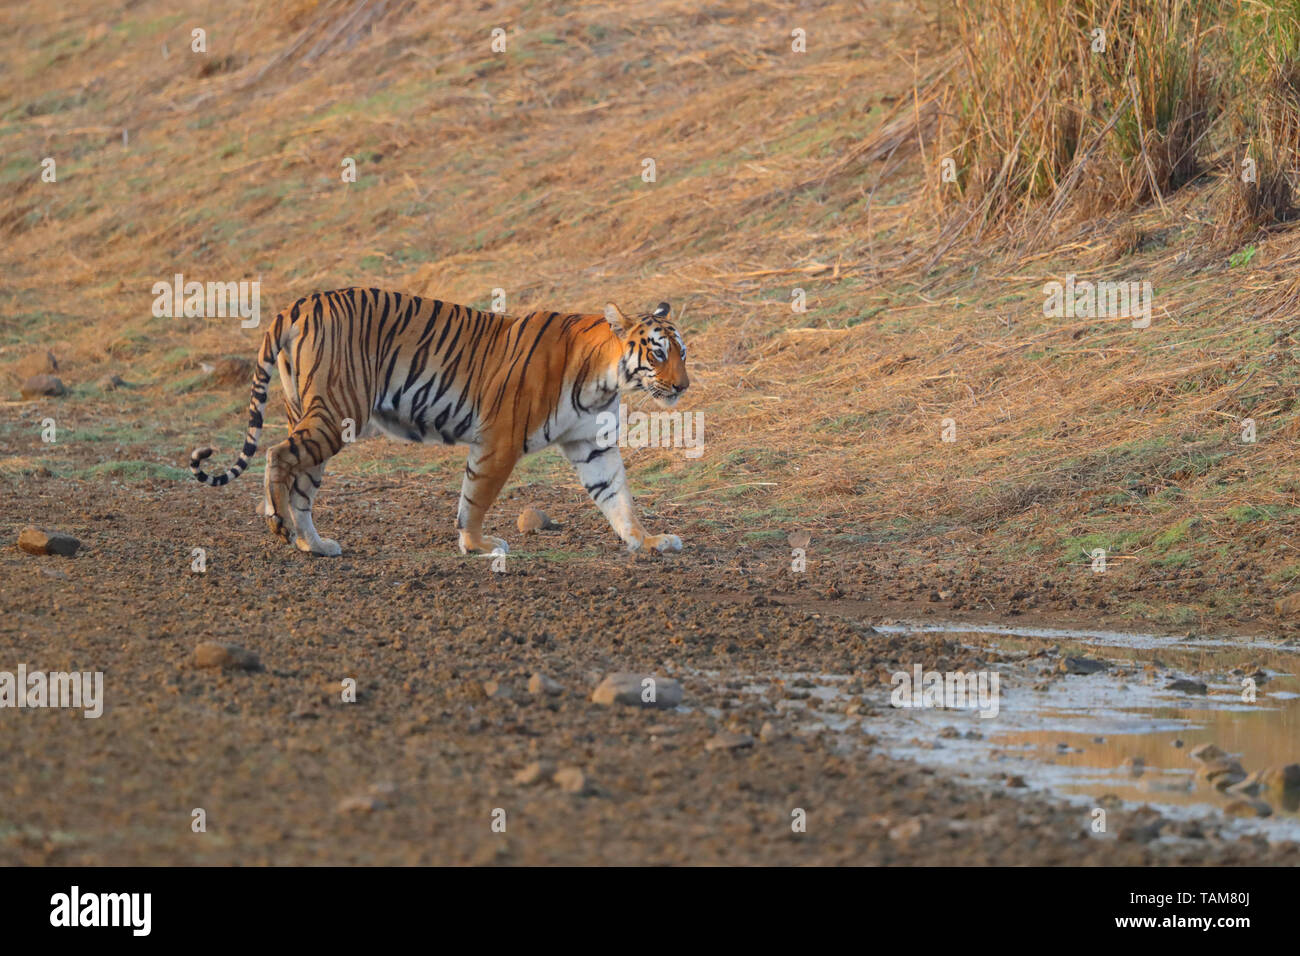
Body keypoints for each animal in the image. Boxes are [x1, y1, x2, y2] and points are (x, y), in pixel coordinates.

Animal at [190, 289, 690, 558]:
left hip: (318, 417)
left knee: (302, 484)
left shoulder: (593, 445)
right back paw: (277, 524)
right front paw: (477, 544)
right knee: (278, 455)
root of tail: (300, 303)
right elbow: (476, 496)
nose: (684, 386)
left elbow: (618, 498)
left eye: (683, 353)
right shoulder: (499, 439)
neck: (603, 379)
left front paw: (647, 541)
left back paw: (314, 545)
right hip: (335, 412)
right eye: (658, 354)